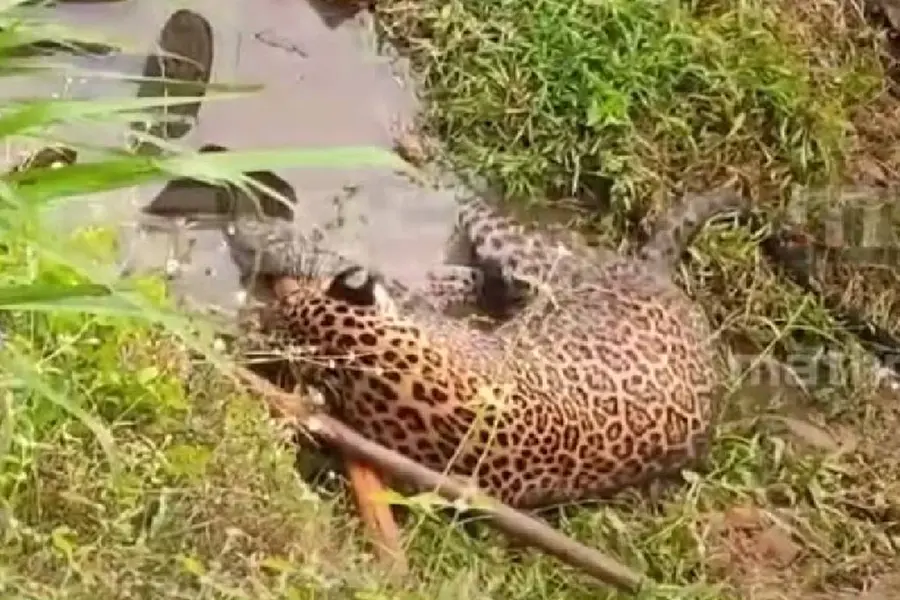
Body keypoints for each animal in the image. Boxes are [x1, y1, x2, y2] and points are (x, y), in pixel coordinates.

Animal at [224, 189, 747, 509]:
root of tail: (662, 279)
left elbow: (335, 260)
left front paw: (262, 239)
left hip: (525, 247)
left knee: (484, 216)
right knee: (492, 276)